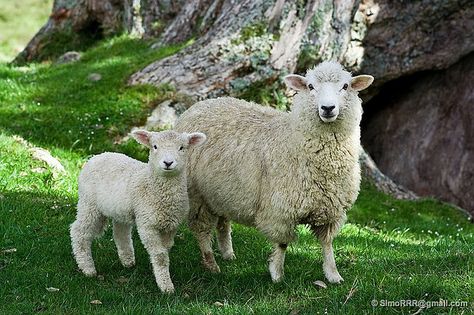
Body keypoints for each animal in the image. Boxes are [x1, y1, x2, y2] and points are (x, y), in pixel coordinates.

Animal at [69, 129, 206, 294]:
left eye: (181, 147)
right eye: (154, 146)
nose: (168, 163)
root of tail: (98, 156)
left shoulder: (171, 226)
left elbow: (165, 251)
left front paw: (161, 276)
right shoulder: (147, 225)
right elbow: (160, 256)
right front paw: (166, 287)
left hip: (119, 209)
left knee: (120, 233)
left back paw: (128, 261)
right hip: (89, 203)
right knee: (79, 231)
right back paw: (87, 268)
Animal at [174, 61, 374, 284]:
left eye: (345, 86)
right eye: (310, 86)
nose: (328, 108)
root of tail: (200, 105)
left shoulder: (330, 210)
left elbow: (327, 244)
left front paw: (333, 274)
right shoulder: (280, 210)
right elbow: (282, 243)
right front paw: (277, 274)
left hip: (221, 191)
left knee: (223, 223)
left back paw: (228, 254)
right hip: (197, 195)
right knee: (201, 230)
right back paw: (211, 263)